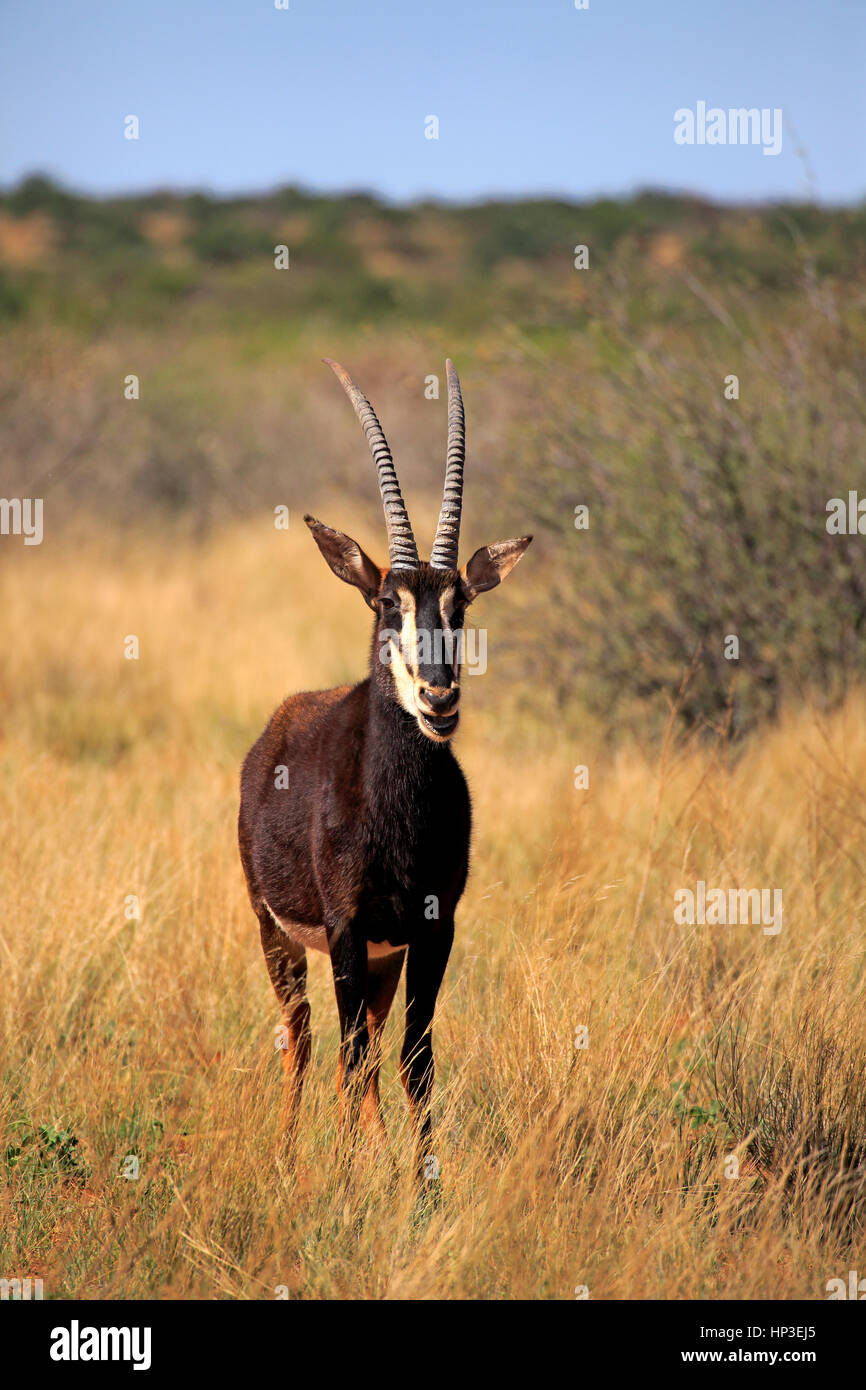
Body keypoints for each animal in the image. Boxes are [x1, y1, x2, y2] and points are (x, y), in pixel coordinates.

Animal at [238, 358, 531, 1176]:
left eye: (461, 604)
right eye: (387, 602)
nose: (439, 696)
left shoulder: (432, 929)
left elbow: (414, 1061)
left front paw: (423, 1188)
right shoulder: (342, 928)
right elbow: (348, 1053)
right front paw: (345, 1181)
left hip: (381, 958)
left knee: (366, 1053)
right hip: (279, 934)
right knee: (305, 1039)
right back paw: (288, 1157)